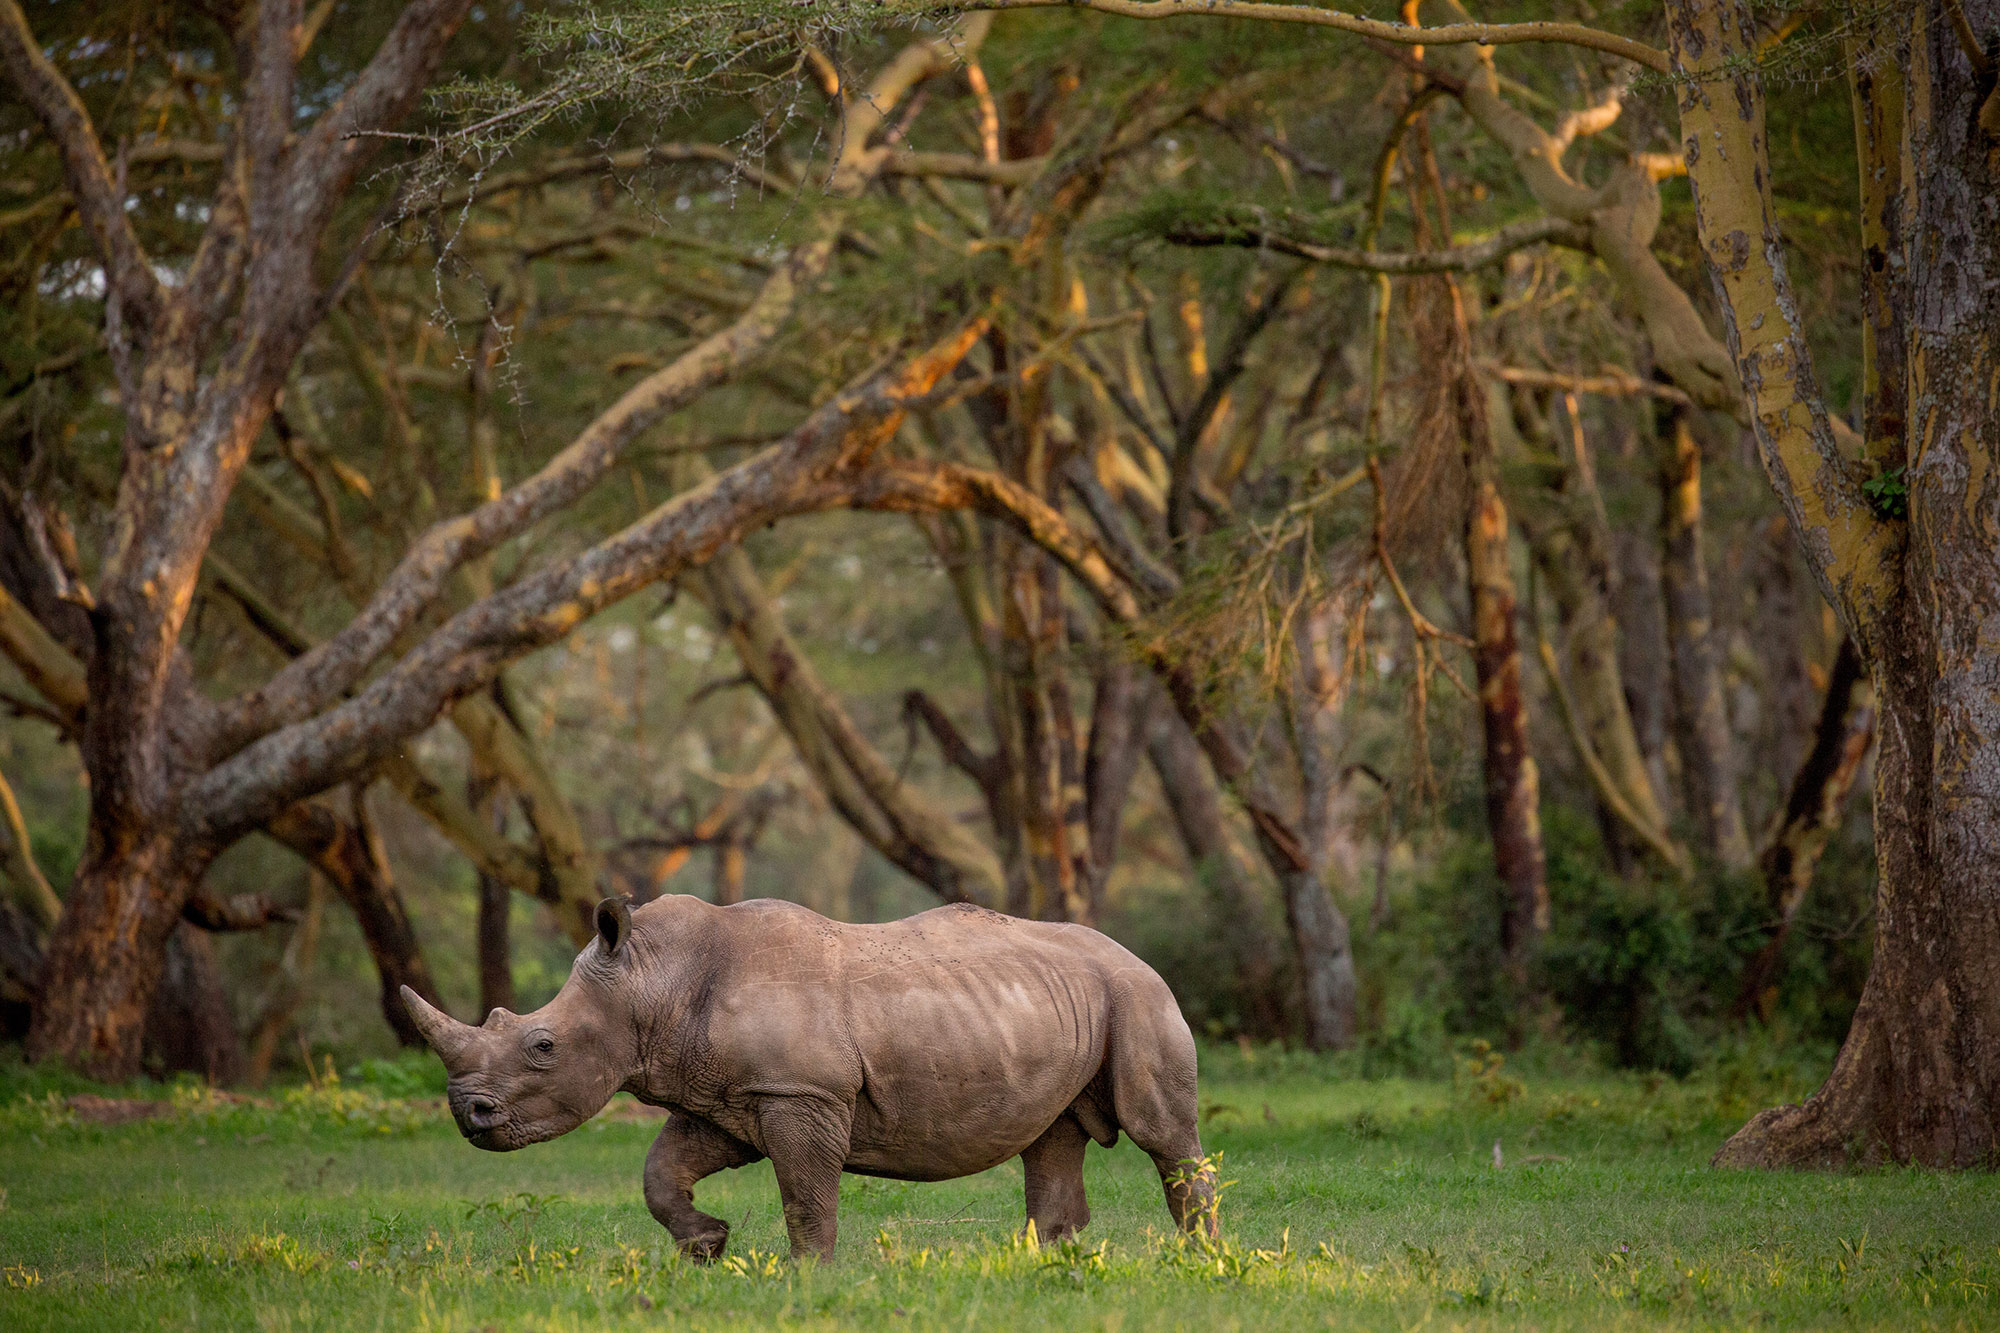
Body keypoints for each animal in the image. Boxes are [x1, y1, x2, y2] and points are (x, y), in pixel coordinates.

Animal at [402, 894, 1217, 1261]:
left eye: (542, 1045)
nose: (469, 1116)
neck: (654, 980)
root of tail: (1134, 953)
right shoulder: (727, 1095)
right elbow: (661, 1170)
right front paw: (707, 1246)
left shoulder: (800, 1092)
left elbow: (805, 1192)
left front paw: (805, 1276)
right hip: (1062, 1004)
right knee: (1053, 1136)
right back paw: (1052, 1263)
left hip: (1138, 995)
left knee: (1160, 1130)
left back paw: (1196, 1259)